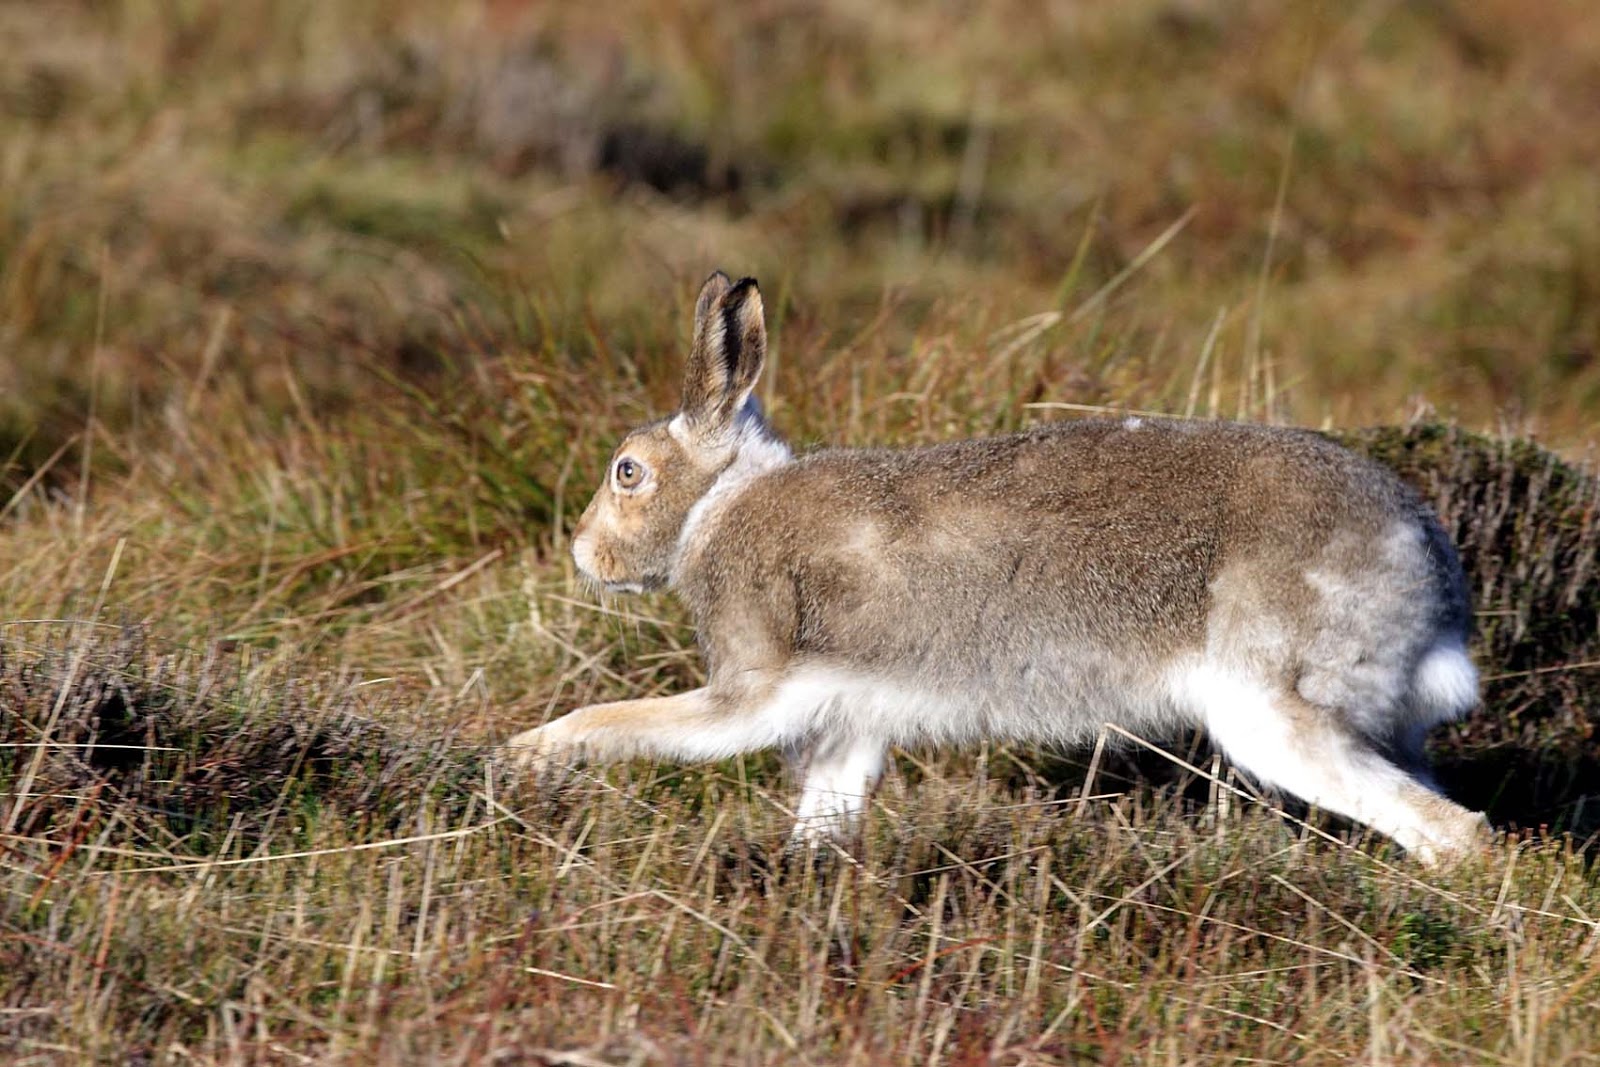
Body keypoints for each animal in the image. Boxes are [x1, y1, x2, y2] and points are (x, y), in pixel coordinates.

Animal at [505, 270, 1491, 866]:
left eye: (627, 471)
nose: (582, 550)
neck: (719, 503)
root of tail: (1427, 575)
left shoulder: (753, 685)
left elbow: (620, 720)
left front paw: (525, 756)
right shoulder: (848, 717)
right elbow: (828, 807)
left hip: (1272, 710)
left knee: (1454, 830)